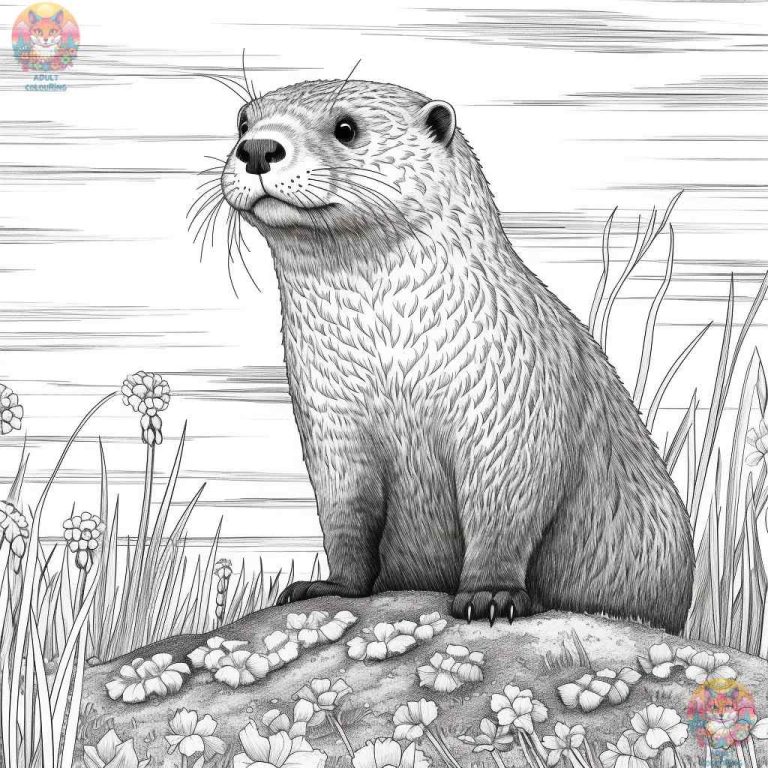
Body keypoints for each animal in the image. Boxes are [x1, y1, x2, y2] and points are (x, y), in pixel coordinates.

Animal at [219, 79, 694, 632]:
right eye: (243, 122)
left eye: (346, 127)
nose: (257, 149)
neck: (393, 354)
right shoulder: (330, 419)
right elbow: (345, 516)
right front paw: (330, 586)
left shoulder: (513, 403)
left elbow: (502, 511)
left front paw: (491, 594)